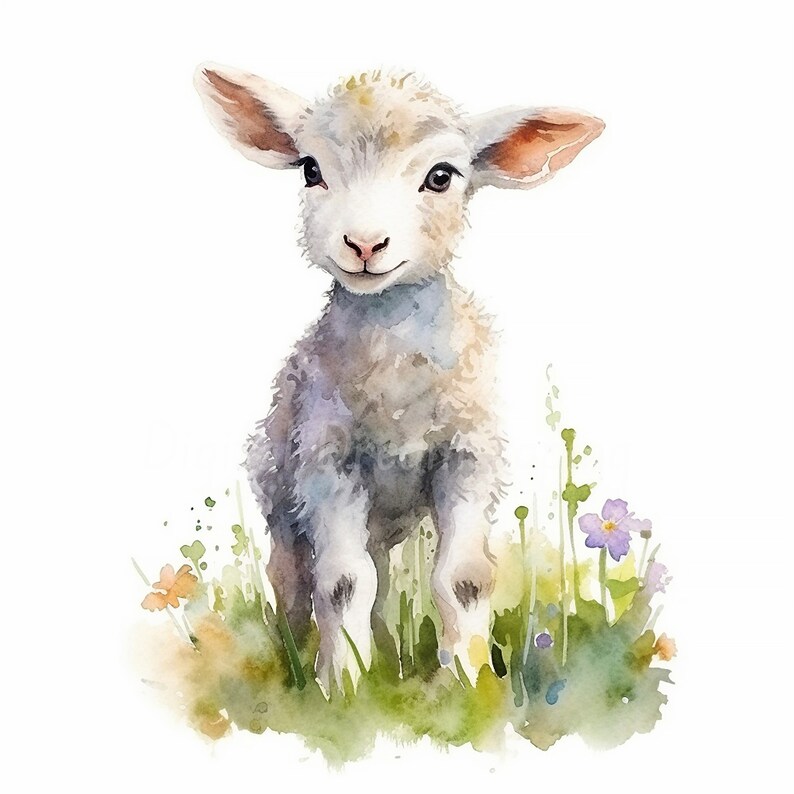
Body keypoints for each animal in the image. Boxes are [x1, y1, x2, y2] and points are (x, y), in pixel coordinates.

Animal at [194, 65, 603, 689]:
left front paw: (467, 683)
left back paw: (388, 655)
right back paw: (295, 659)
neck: (396, 382)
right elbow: (340, 583)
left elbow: (464, 579)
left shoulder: (468, 454)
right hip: (281, 498)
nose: (364, 244)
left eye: (441, 176)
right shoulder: (327, 462)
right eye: (310, 169)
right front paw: (341, 688)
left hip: (383, 522)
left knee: (380, 575)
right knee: (292, 579)